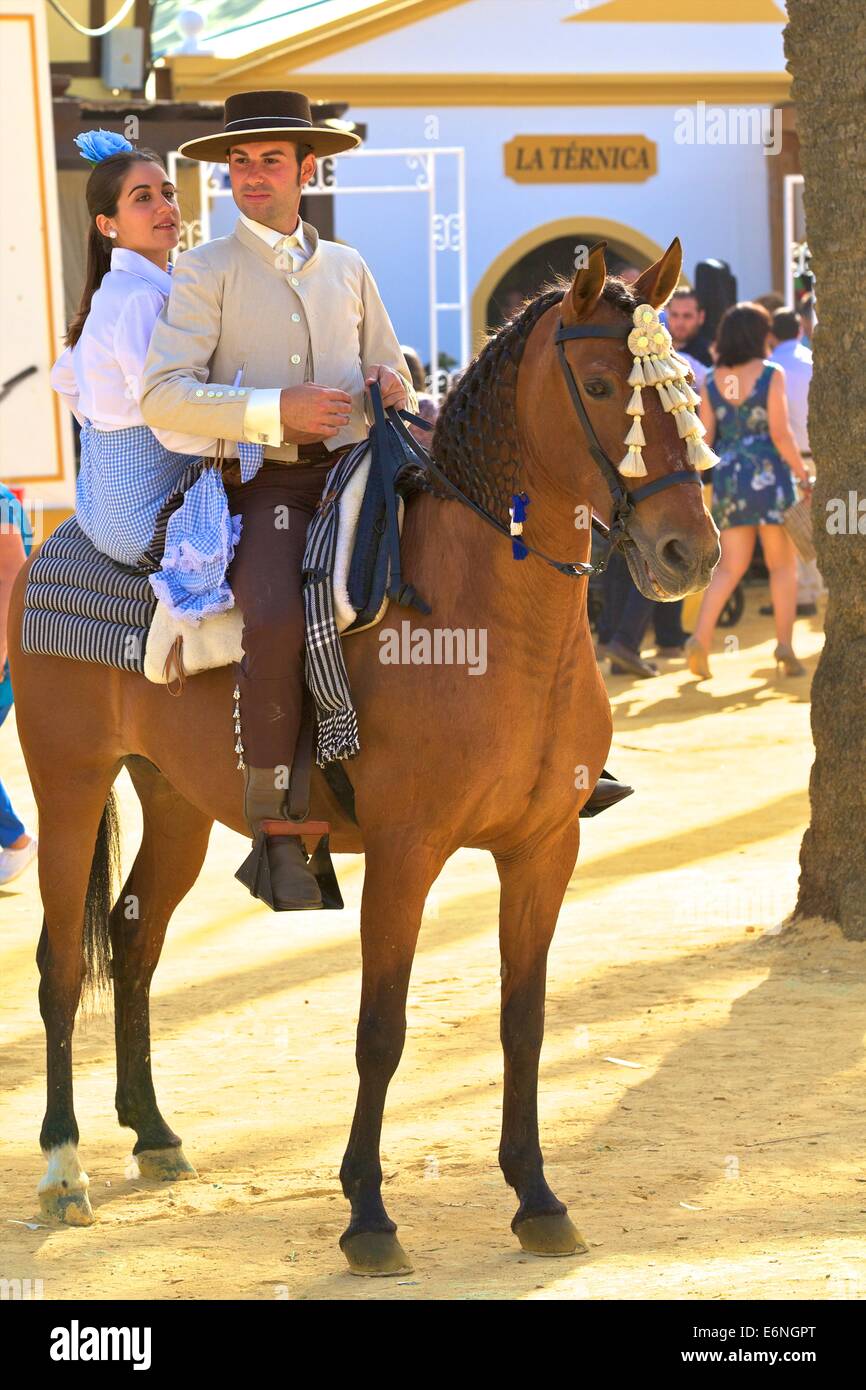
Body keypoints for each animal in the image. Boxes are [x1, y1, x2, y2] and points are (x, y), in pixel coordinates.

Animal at [7, 237, 720, 1275]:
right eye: (597, 384)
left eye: (684, 390)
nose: (687, 553)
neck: (493, 620)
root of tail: (58, 538)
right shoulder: (403, 851)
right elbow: (380, 1030)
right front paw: (369, 1217)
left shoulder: (545, 848)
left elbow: (525, 1020)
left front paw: (538, 1198)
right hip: (68, 787)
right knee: (62, 961)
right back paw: (65, 1169)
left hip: (175, 801)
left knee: (135, 940)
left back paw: (154, 1133)